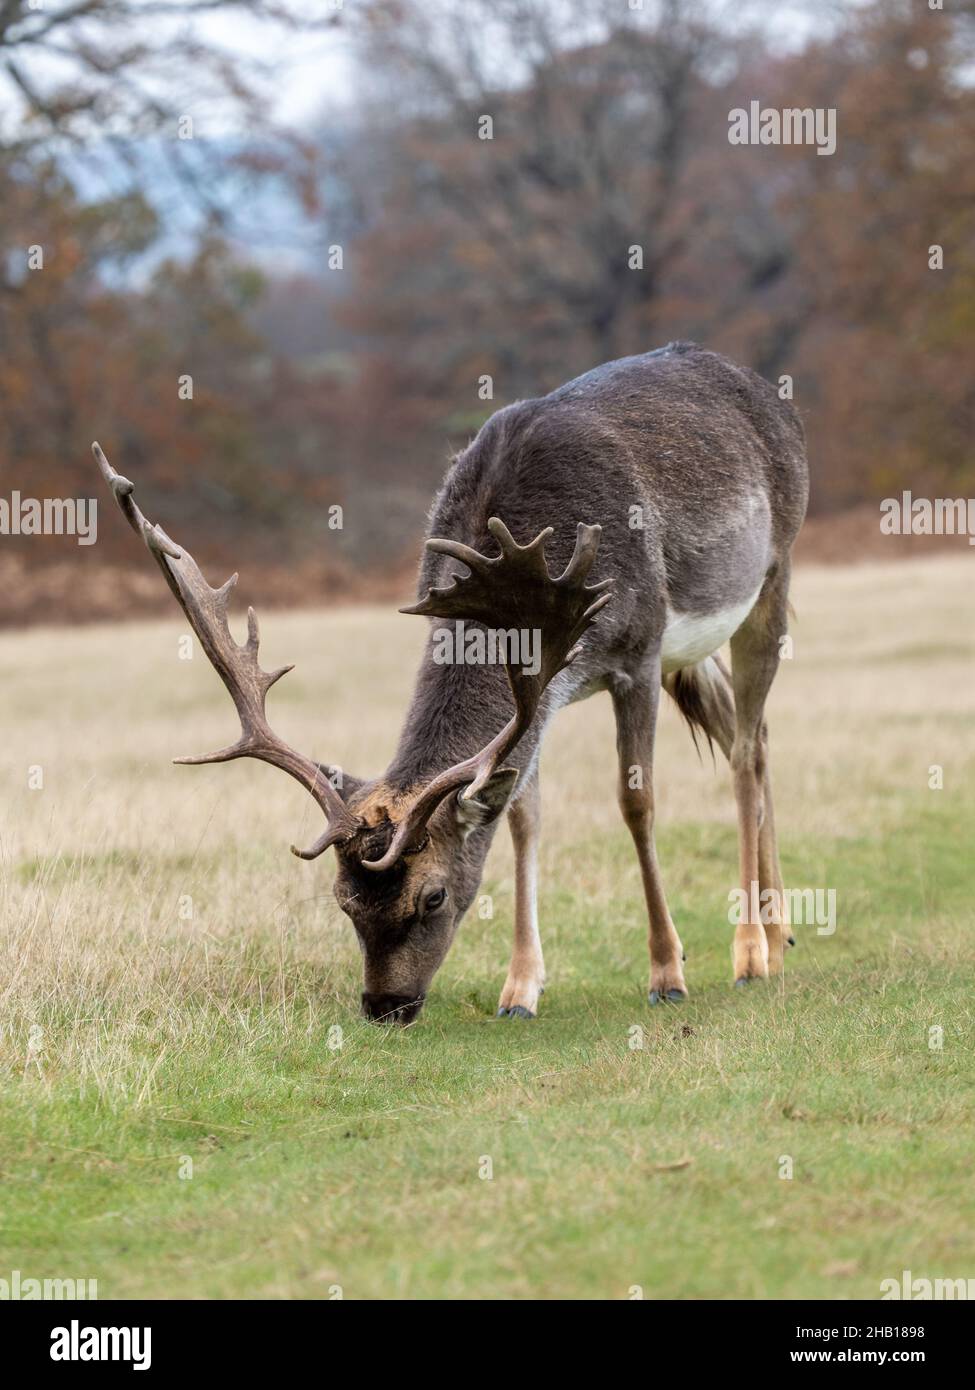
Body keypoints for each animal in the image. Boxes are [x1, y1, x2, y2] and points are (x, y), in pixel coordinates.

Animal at [94, 340, 808, 1025]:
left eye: (433, 896)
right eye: (343, 902)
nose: (384, 1006)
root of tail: (768, 395)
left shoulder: (638, 649)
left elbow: (638, 802)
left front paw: (667, 974)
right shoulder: (549, 695)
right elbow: (522, 814)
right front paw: (520, 990)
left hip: (770, 575)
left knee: (745, 751)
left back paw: (753, 951)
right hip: (692, 653)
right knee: (753, 732)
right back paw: (780, 937)